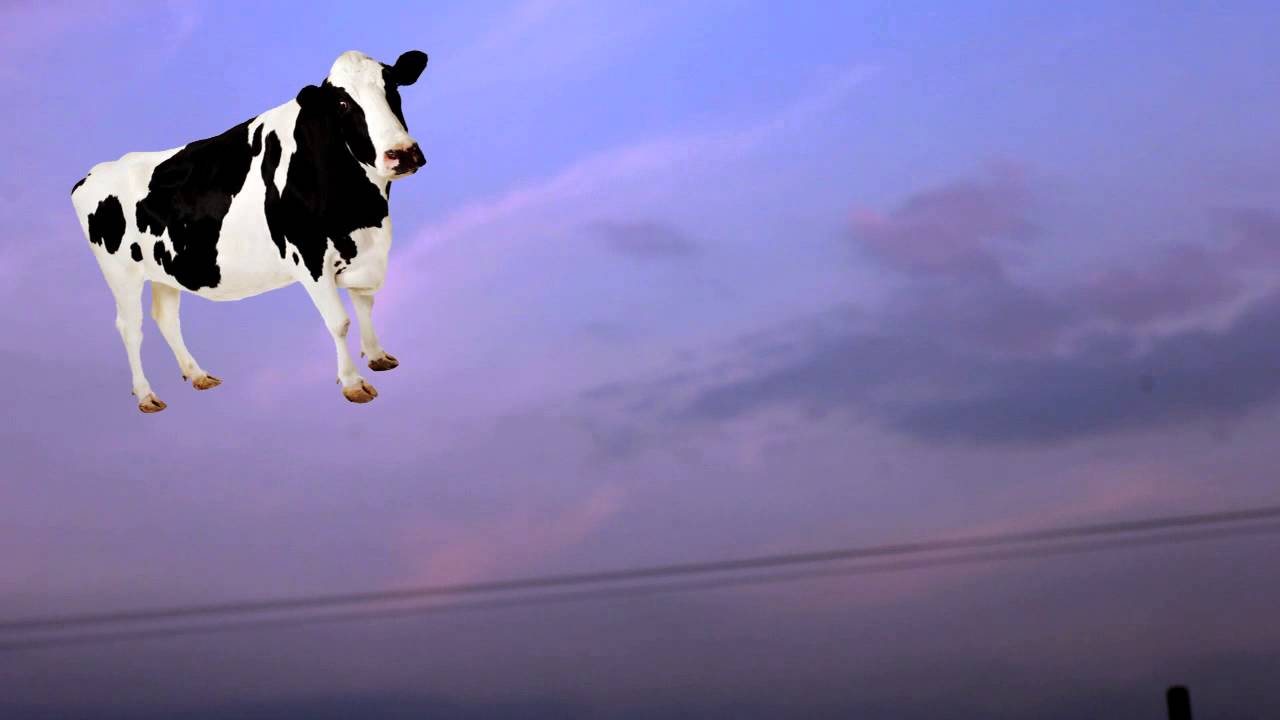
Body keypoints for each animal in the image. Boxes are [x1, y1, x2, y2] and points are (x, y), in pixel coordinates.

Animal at [70, 50, 429, 413]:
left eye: (393, 86)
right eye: (342, 103)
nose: (401, 153)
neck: (364, 210)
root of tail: (93, 173)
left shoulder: (365, 250)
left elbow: (365, 304)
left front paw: (377, 356)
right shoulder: (308, 255)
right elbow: (339, 322)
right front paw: (353, 383)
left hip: (165, 268)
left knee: (165, 318)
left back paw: (197, 375)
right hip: (121, 272)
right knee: (130, 327)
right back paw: (146, 395)